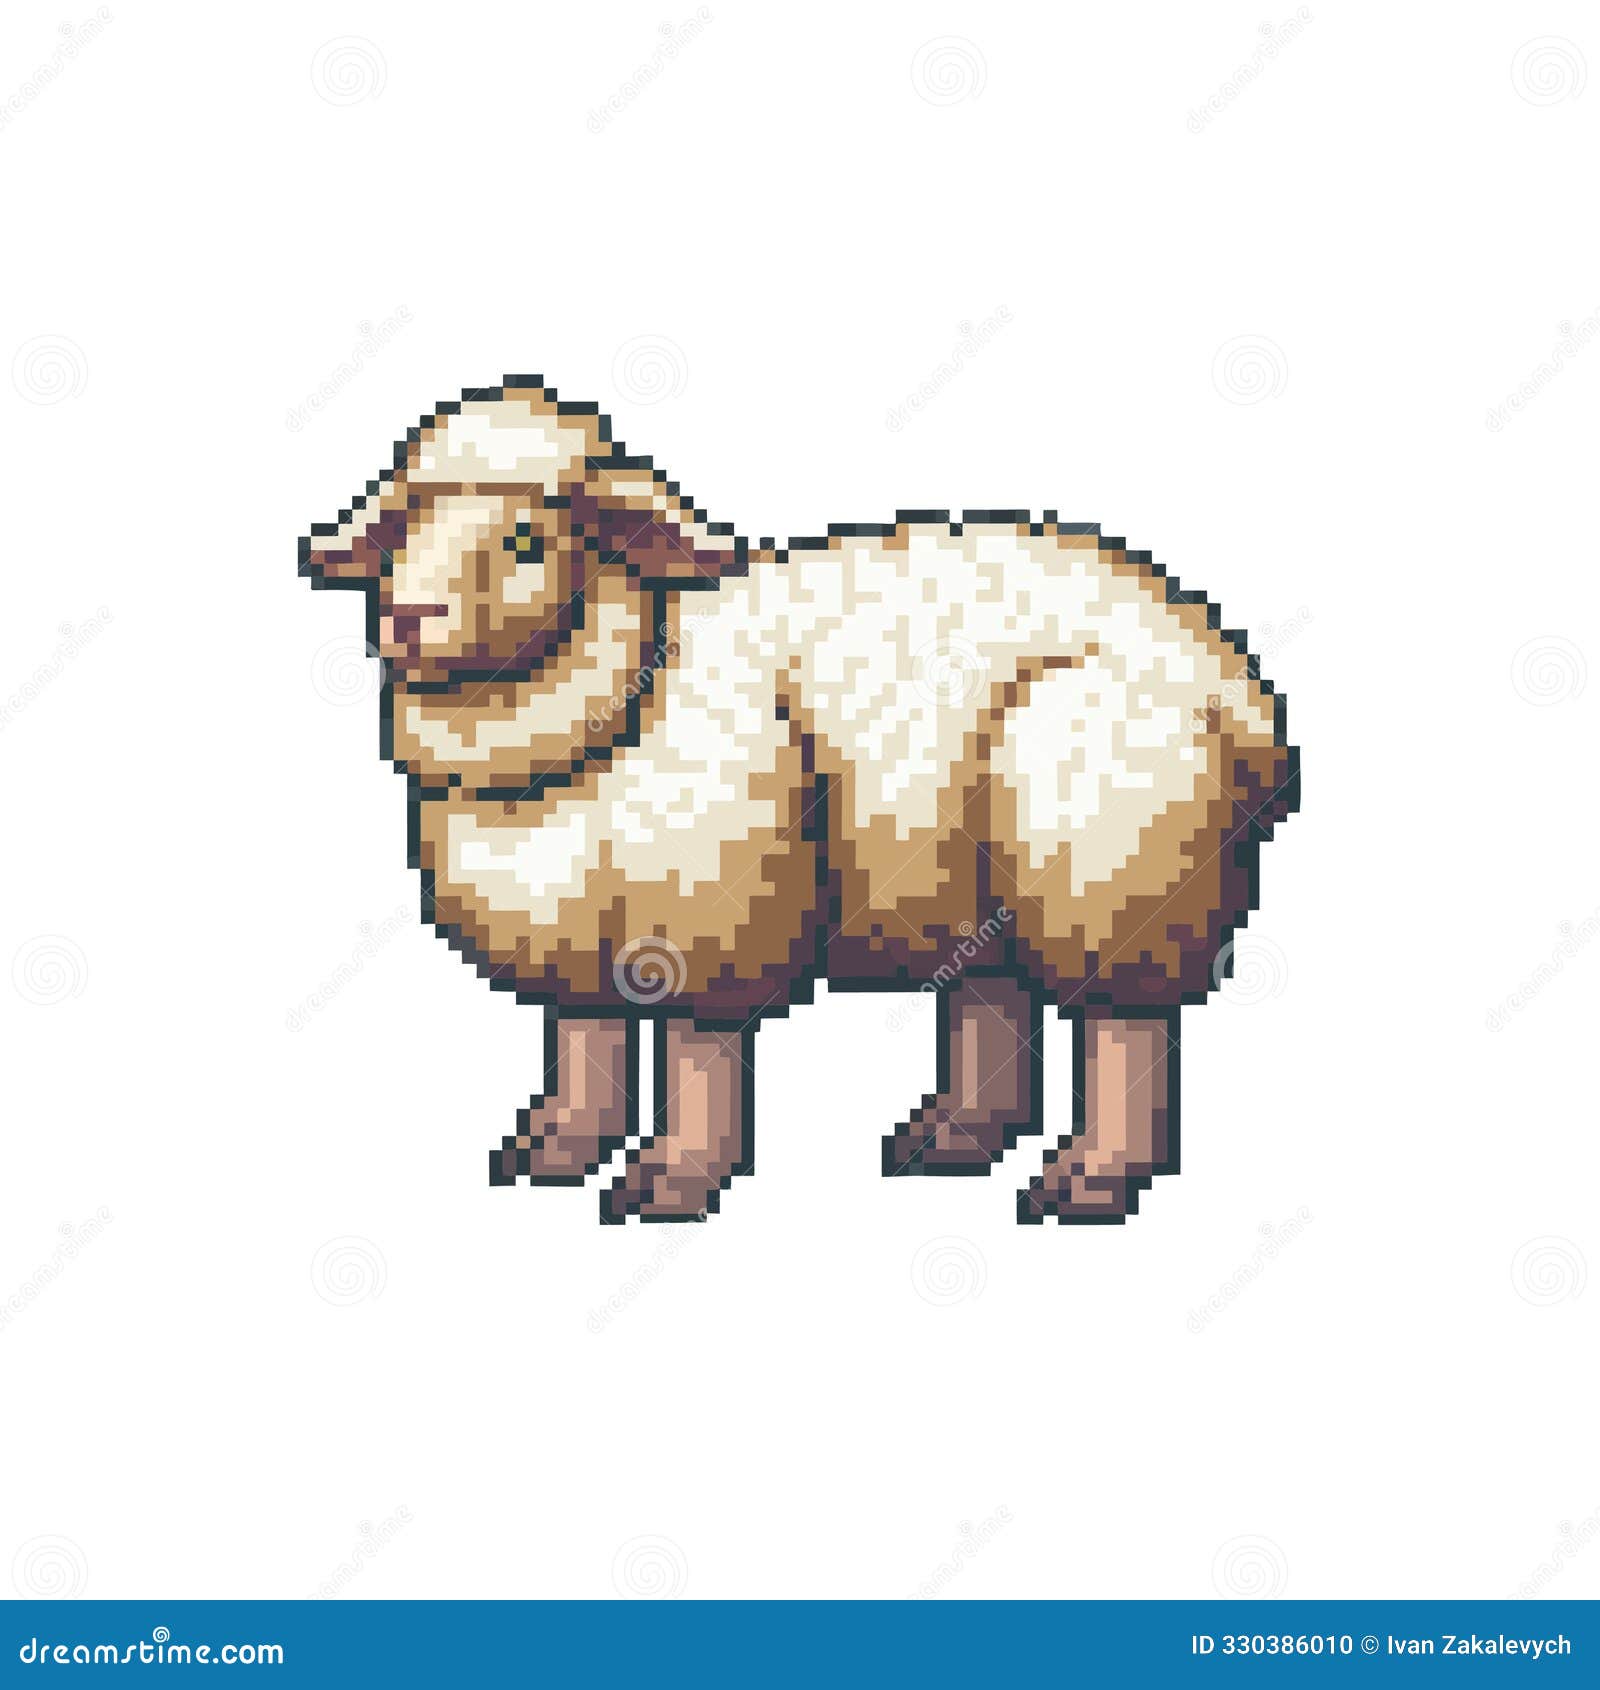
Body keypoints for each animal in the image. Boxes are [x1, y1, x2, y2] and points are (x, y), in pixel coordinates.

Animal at [300, 377, 1298, 1225]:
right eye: (402, 534)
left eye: (526, 540)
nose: (407, 618)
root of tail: (1231, 679)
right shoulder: (573, 930)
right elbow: (588, 1044)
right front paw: (554, 1148)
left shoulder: (708, 915)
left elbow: (697, 1057)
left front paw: (671, 1180)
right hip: (975, 887)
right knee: (994, 1001)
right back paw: (948, 1139)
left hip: (1104, 860)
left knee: (1126, 1030)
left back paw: (1088, 1180)